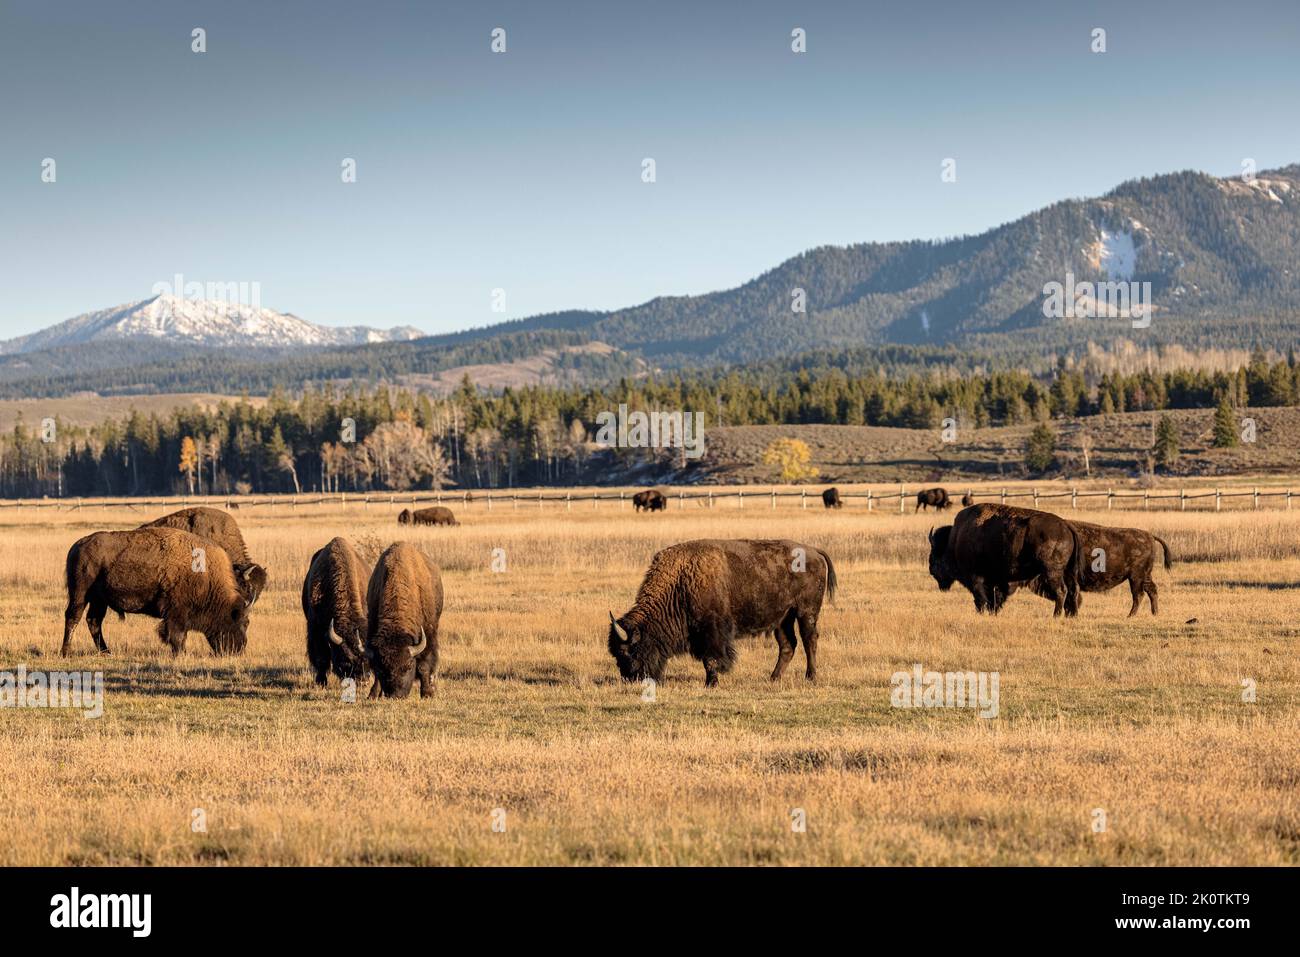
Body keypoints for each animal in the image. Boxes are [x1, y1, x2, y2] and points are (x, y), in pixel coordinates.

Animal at [61, 527, 252, 656]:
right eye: (242, 622)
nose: (239, 650)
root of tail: (77, 546)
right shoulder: (176, 612)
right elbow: (177, 635)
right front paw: (180, 654)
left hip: (99, 600)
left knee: (94, 620)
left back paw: (106, 651)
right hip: (80, 594)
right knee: (73, 617)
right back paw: (66, 651)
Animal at [363, 542, 444, 698]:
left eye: (409, 666)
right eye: (383, 668)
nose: (396, 695)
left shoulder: (428, 633)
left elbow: (424, 665)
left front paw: (427, 693)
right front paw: (373, 694)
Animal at [608, 539, 836, 687]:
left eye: (629, 651)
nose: (630, 678)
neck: (681, 581)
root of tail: (814, 551)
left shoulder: (712, 631)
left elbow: (711, 659)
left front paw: (711, 683)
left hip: (806, 612)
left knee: (809, 640)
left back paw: (810, 677)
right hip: (782, 619)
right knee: (788, 645)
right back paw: (773, 678)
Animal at [928, 504, 1083, 617]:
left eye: (934, 559)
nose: (931, 571)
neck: (953, 542)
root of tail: (1066, 526)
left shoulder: (976, 578)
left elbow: (981, 598)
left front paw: (981, 613)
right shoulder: (996, 580)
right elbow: (994, 598)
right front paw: (993, 613)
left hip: (1052, 571)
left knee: (1061, 591)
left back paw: (1056, 615)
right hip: (1068, 571)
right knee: (1073, 589)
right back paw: (1072, 616)